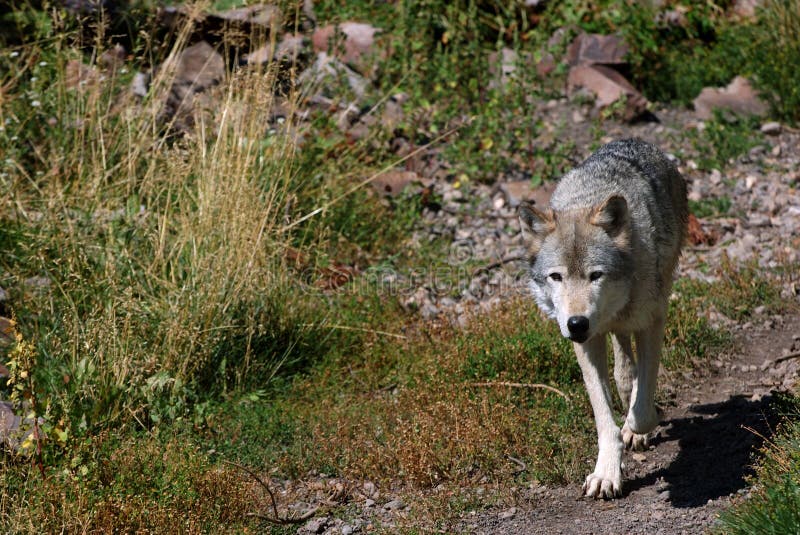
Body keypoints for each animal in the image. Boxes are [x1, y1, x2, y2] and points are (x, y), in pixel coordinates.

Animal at [518, 139, 688, 499]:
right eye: (556, 277)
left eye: (596, 275)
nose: (576, 323)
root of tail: (636, 141)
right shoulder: (587, 343)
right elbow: (603, 417)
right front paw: (606, 473)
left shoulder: (653, 320)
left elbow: (642, 406)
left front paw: (638, 425)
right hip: (611, 329)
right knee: (623, 364)